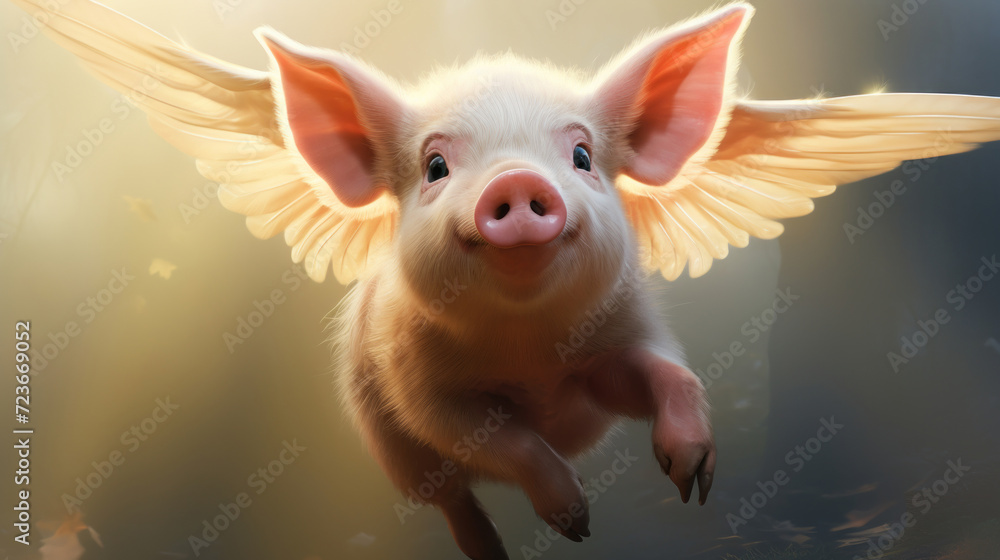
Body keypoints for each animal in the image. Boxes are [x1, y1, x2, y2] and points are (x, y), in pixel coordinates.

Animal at [14, 0, 1000, 558]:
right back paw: (491, 550)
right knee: (448, 498)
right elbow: (499, 438)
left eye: (582, 156)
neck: (529, 350)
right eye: (436, 166)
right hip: (386, 445)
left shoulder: (613, 352)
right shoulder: (424, 392)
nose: (518, 186)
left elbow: (669, 376)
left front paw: (691, 477)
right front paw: (576, 523)